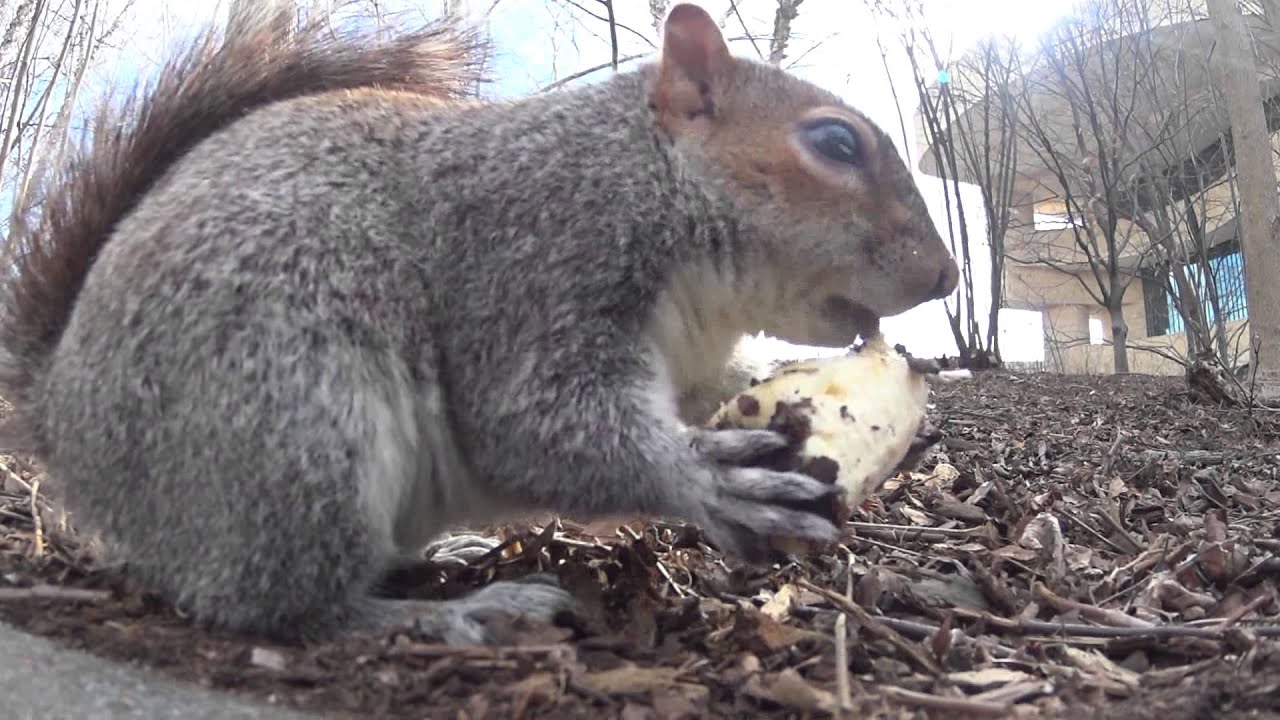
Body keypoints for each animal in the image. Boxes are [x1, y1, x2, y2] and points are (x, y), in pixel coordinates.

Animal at [0, 3, 959, 645]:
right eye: (834, 145)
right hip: (292, 419)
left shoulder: (682, 358)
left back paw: (449, 558)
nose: (947, 274)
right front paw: (711, 482)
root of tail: (63, 415)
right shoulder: (530, 260)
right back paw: (455, 612)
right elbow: (530, 422)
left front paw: (766, 384)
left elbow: (701, 391)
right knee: (284, 609)